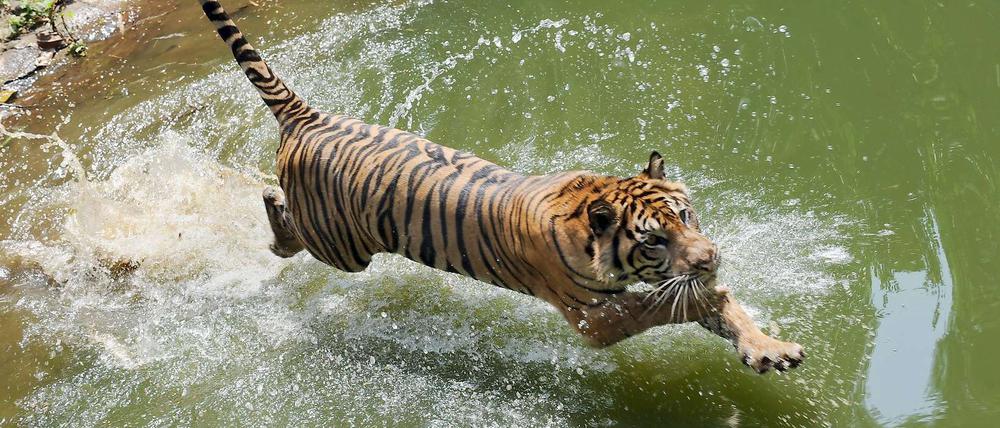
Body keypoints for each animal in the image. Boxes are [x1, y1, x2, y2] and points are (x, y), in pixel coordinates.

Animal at [198, 0, 804, 373]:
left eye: (688, 216)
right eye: (654, 238)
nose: (710, 258)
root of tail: (309, 116)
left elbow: (721, 312)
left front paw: (768, 349)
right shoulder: (595, 318)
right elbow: (674, 304)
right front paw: (713, 295)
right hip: (343, 248)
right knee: (277, 205)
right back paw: (276, 238)